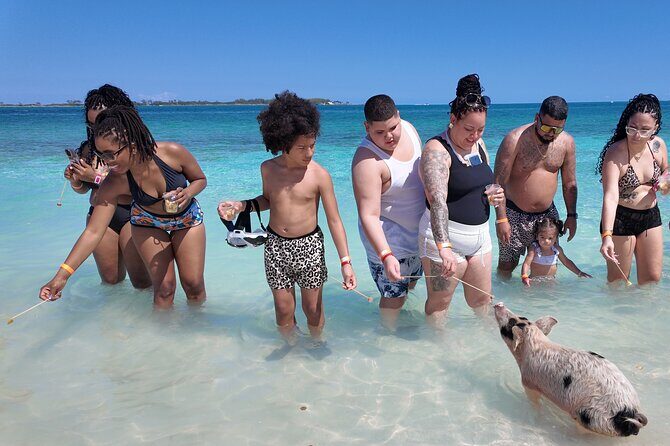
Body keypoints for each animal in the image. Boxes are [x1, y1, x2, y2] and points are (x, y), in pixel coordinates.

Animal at [493, 302, 647, 437]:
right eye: (523, 317)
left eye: (510, 323)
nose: (499, 304)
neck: (534, 344)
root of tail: (630, 412)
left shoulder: (529, 382)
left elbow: (534, 401)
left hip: (592, 417)